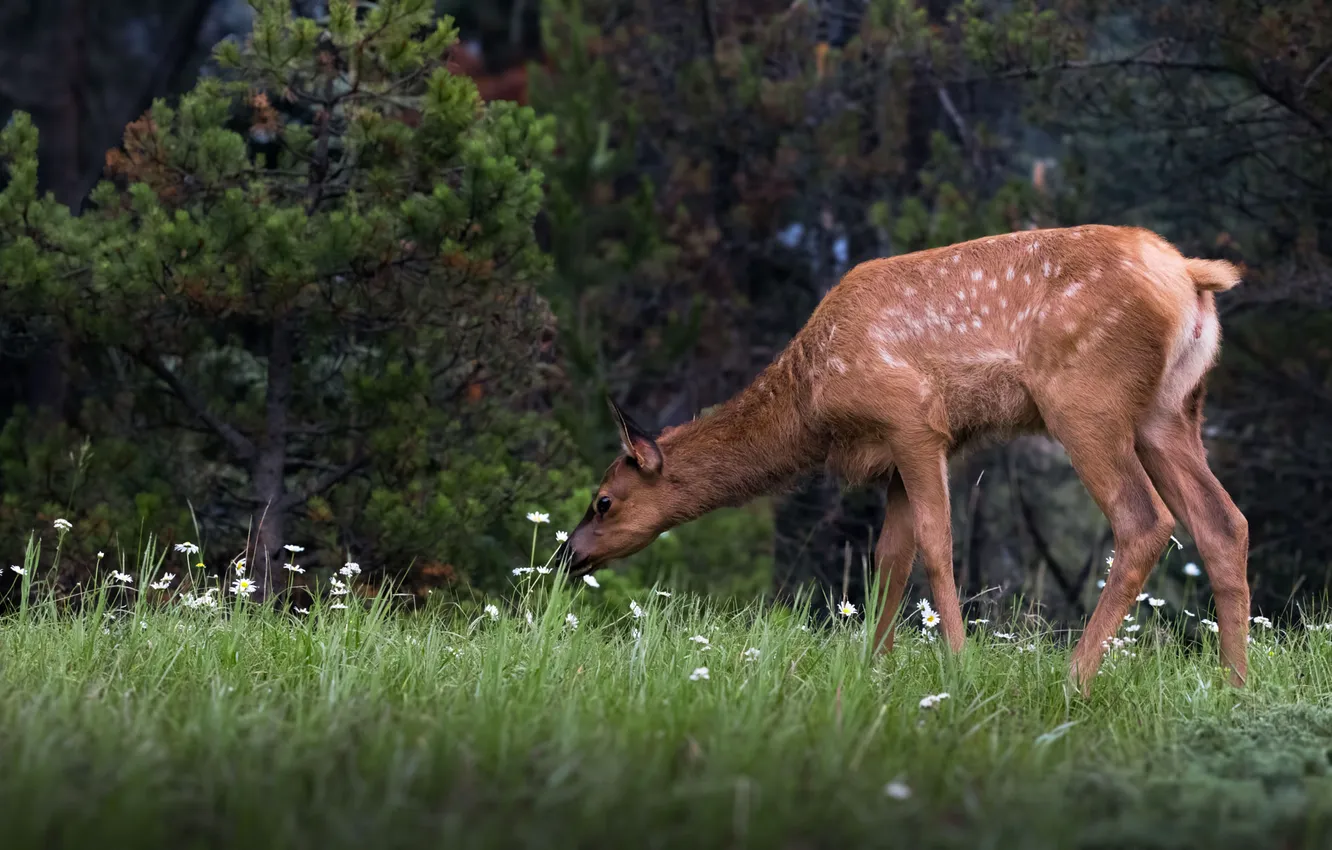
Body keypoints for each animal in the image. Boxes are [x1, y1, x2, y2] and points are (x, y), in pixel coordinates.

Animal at [558, 224, 1249, 695]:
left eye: (604, 500)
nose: (568, 554)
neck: (813, 404)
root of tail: (1190, 277)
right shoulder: (890, 458)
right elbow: (890, 559)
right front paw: (874, 665)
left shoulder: (914, 420)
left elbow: (936, 546)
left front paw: (957, 665)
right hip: (1170, 411)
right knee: (1224, 522)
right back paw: (1233, 684)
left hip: (1086, 400)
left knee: (1145, 521)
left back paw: (1074, 678)